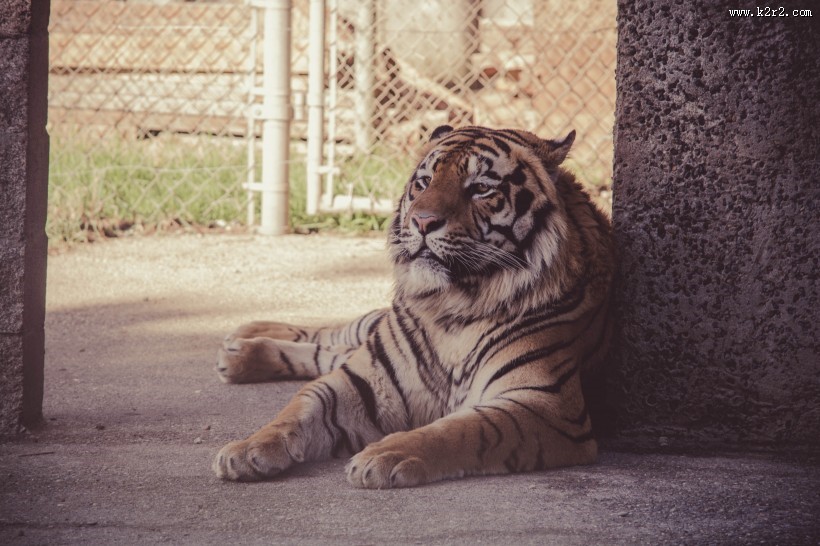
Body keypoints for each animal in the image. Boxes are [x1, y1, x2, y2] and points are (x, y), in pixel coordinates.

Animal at [212, 125, 615, 488]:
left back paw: (238, 353)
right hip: (371, 331)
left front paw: (384, 455)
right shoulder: (363, 380)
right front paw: (247, 449)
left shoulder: (545, 406)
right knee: (332, 335)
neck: (452, 307)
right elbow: (300, 407)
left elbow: (465, 429)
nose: (422, 222)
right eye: (424, 182)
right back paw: (244, 340)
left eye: (481, 188)